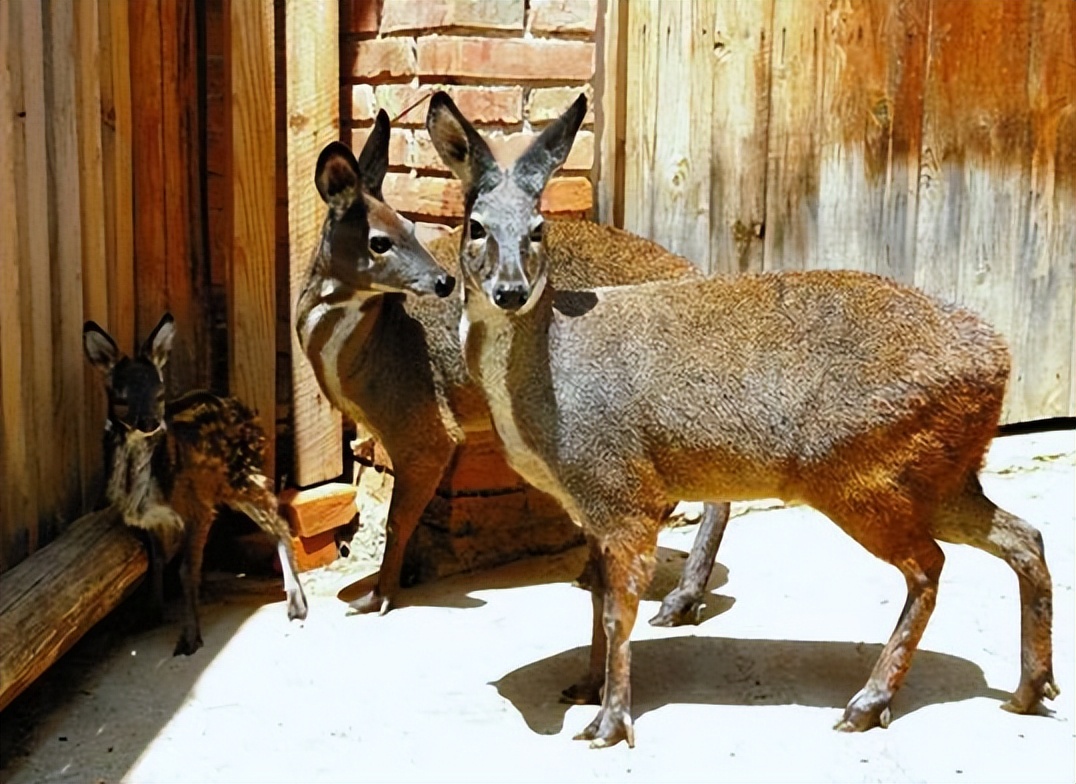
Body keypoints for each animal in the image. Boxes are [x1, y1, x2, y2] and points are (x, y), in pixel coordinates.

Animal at [83, 314, 309, 656]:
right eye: (122, 399)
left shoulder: (197, 507)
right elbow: (156, 562)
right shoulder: (151, 518)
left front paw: (190, 639)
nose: (150, 424)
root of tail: (250, 414)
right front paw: (151, 614)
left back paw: (296, 606)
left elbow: (186, 570)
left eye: (160, 393)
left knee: (278, 517)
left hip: (239, 475)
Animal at [295, 108, 729, 626]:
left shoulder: (423, 425)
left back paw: (676, 599)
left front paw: (378, 595)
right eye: (379, 240)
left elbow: (400, 516)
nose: (443, 282)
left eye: (410, 228)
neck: (369, 349)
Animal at [424, 90, 1058, 748]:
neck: (550, 383)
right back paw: (1028, 690)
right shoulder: (591, 507)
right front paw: (584, 687)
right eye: (476, 226)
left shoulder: (623, 489)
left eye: (538, 229)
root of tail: (999, 360)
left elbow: (619, 609)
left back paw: (867, 703)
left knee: (930, 566)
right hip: (941, 474)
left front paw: (610, 722)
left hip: (863, 473)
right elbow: (597, 600)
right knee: (1023, 536)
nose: (510, 290)